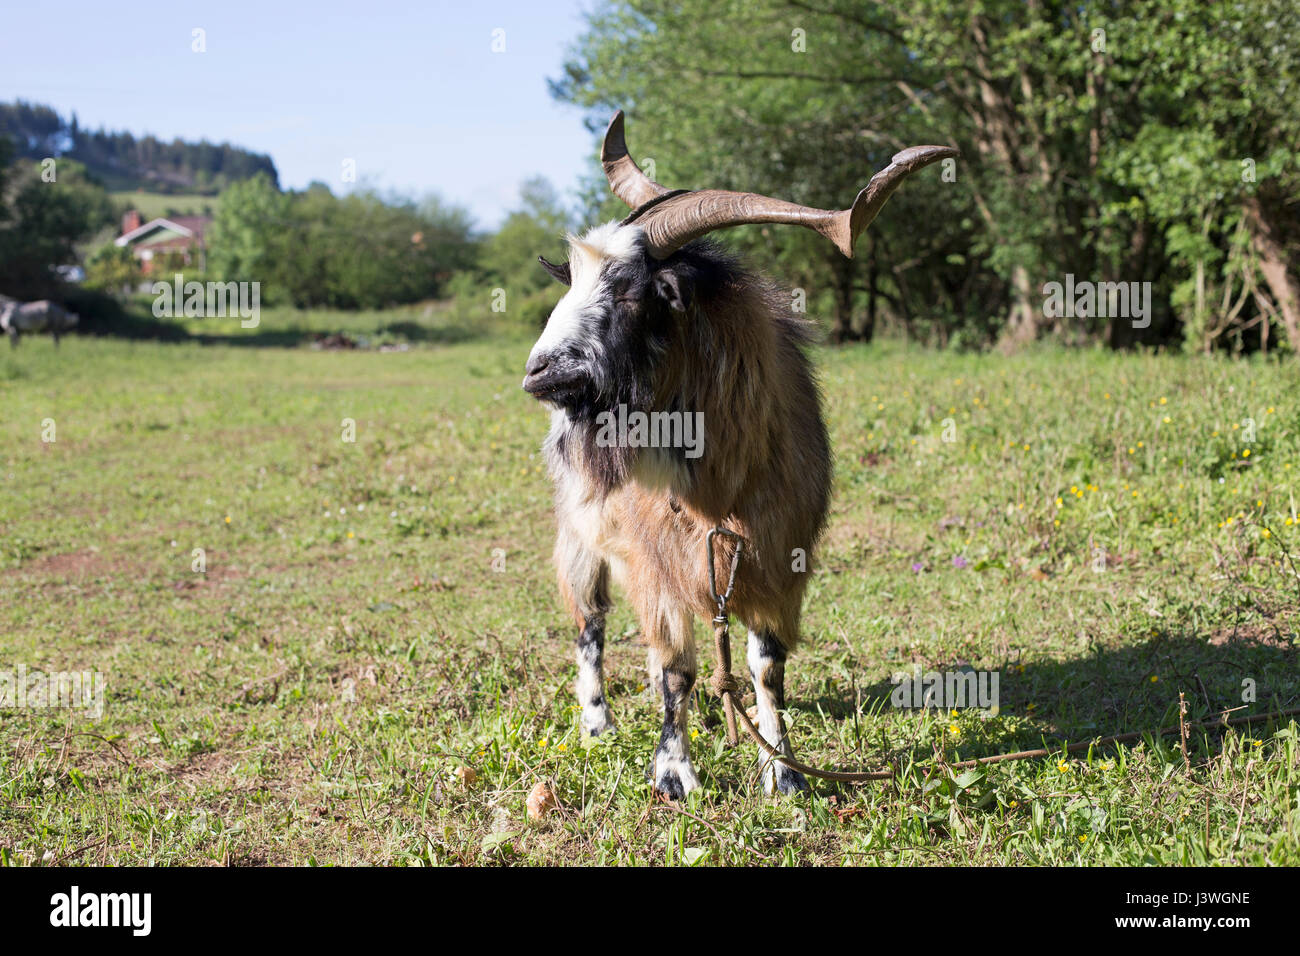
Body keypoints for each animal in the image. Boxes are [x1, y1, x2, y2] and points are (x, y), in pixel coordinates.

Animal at [522, 111, 955, 797]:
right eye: (579, 281)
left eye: (631, 292)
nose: (539, 371)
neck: (716, 489)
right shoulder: (657, 563)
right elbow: (675, 666)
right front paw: (674, 773)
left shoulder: (777, 559)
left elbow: (765, 666)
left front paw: (783, 769)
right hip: (582, 535)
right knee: (589, 626)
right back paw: (598, 725)